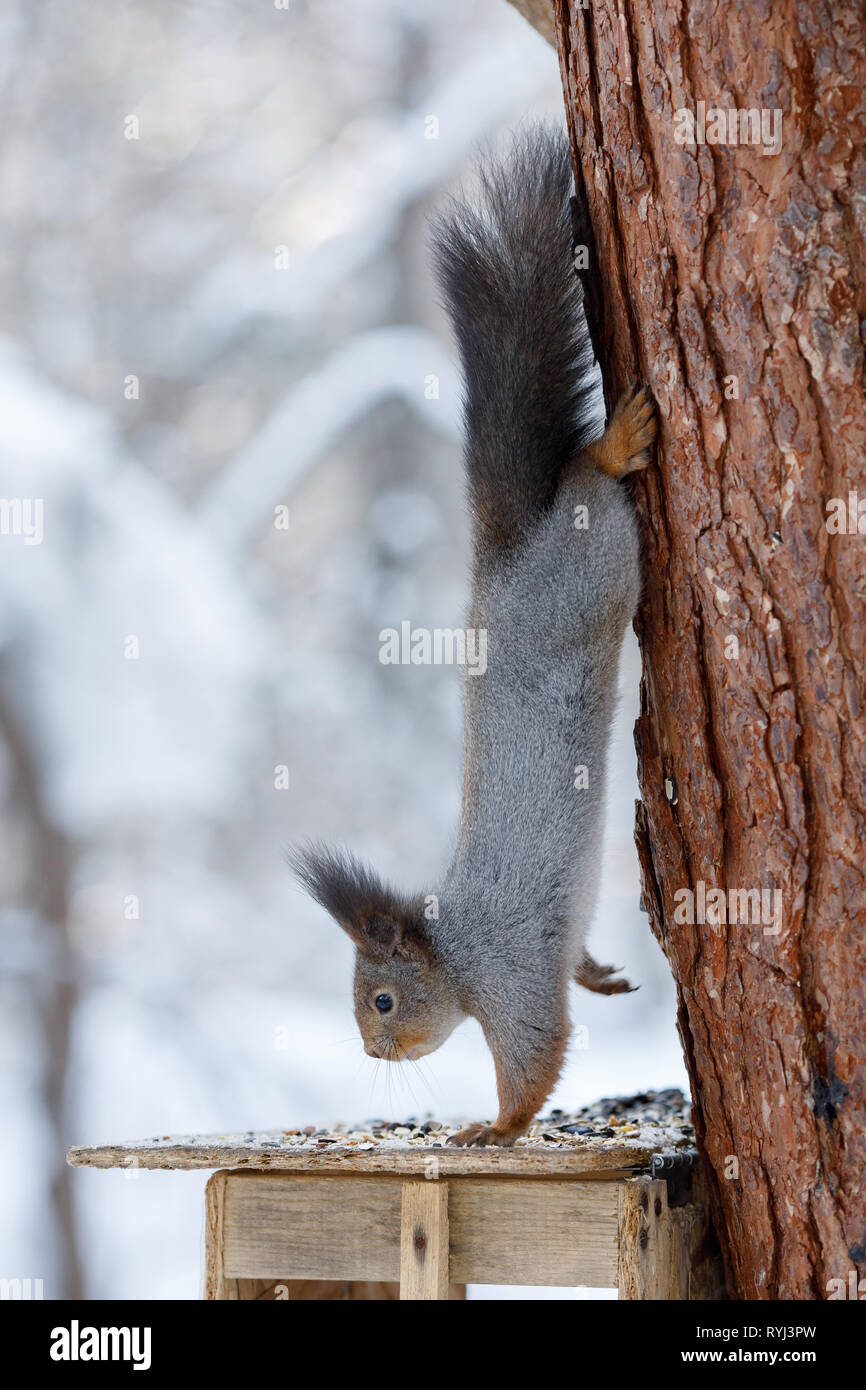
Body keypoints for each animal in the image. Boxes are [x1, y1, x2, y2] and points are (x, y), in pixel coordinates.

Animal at [292, 125, 657, 1146]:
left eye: (380, 1000)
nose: (374, 1054)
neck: (452, 950)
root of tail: (503, 556)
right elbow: (576, 965)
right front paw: (600, 973)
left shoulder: (508, 975)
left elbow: (535, 1059)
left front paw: (489, 1132)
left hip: (585, 569)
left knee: (586, 480)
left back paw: (616, 442)